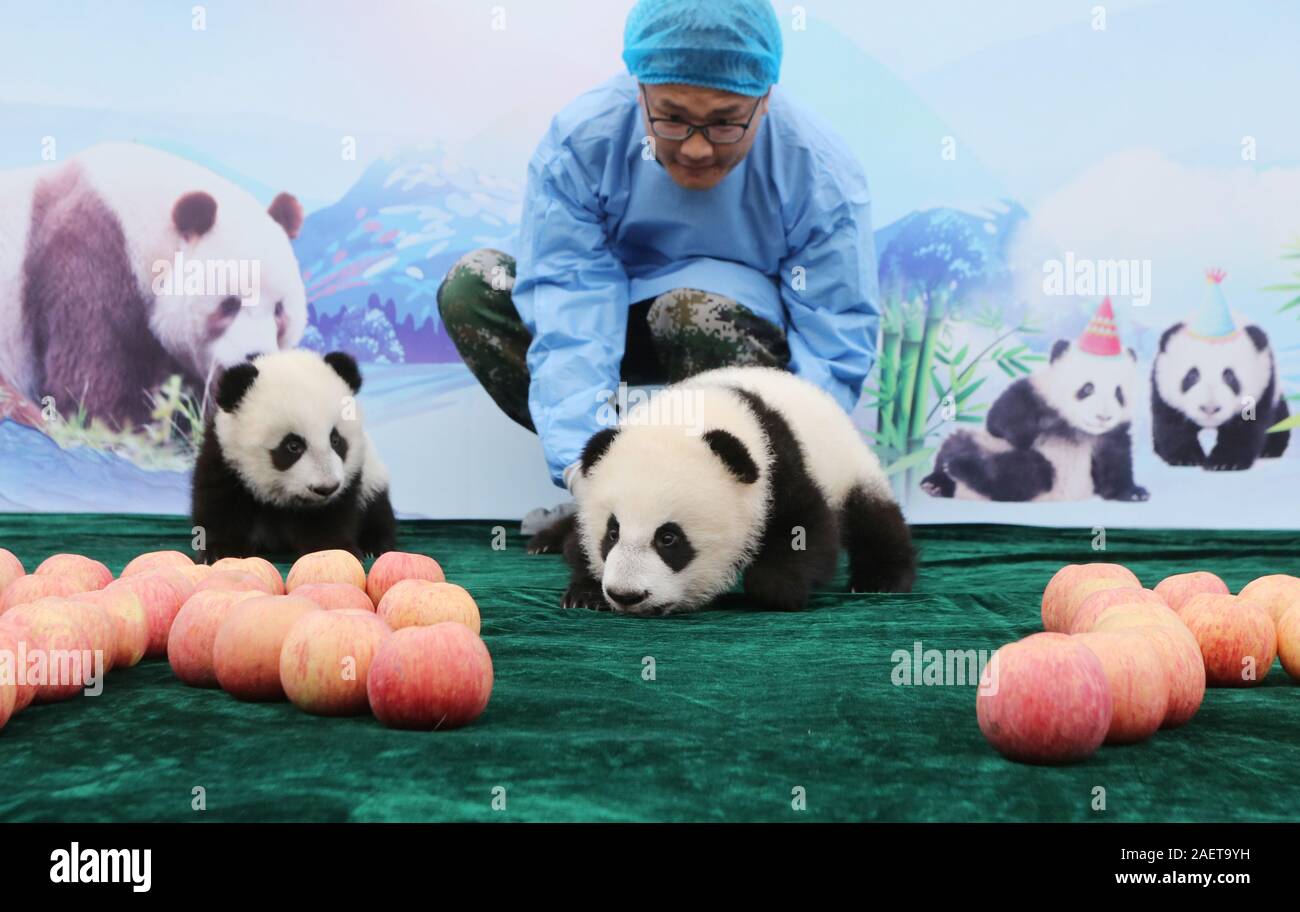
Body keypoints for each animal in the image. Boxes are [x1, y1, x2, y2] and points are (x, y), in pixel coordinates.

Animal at [190, 349, 396, 563]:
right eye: (293, 446)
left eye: (335, 440)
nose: (326, 488)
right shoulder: (225, 456)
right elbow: (220, 502)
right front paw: (220, 551)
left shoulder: (350, 477)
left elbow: (332, 515)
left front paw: (333, 550)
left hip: (372, 475)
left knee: (377, 507)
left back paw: (375, 545)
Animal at [527, 366, 916, 616]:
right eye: (612, 533)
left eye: (668, 538)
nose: (626, 595)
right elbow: (580, 543)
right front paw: (585, 593)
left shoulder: (781, 466)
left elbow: (808, 529)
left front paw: (776, 589)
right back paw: (544, 541)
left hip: (848, 466)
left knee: (873, 518)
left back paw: (880, 579)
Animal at [920, 340, 1148, 502]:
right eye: (1088, 388)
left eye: (1119, 393)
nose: (1104, 417)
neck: (1075, 427)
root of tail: (964, 491)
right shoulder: (1035, 394)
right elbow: (1000, 418)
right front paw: (1024, 431)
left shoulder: (1110, 435)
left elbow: (1115, 463)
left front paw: (1133, 492)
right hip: (983, 441)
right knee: (955, 444)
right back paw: (939, 480)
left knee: (1023, 475)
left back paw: (961, 467)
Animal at [1151, 322, 1290, 470]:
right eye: (1192, 375)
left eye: (1229, 376)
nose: (1209, 409)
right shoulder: (1163, 392)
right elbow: (1172, 425)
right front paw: (1187, 458)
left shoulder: (1263, 389)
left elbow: (1245, 428)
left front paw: (1225, 462)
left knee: (1280, 418)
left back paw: (1270, 450)